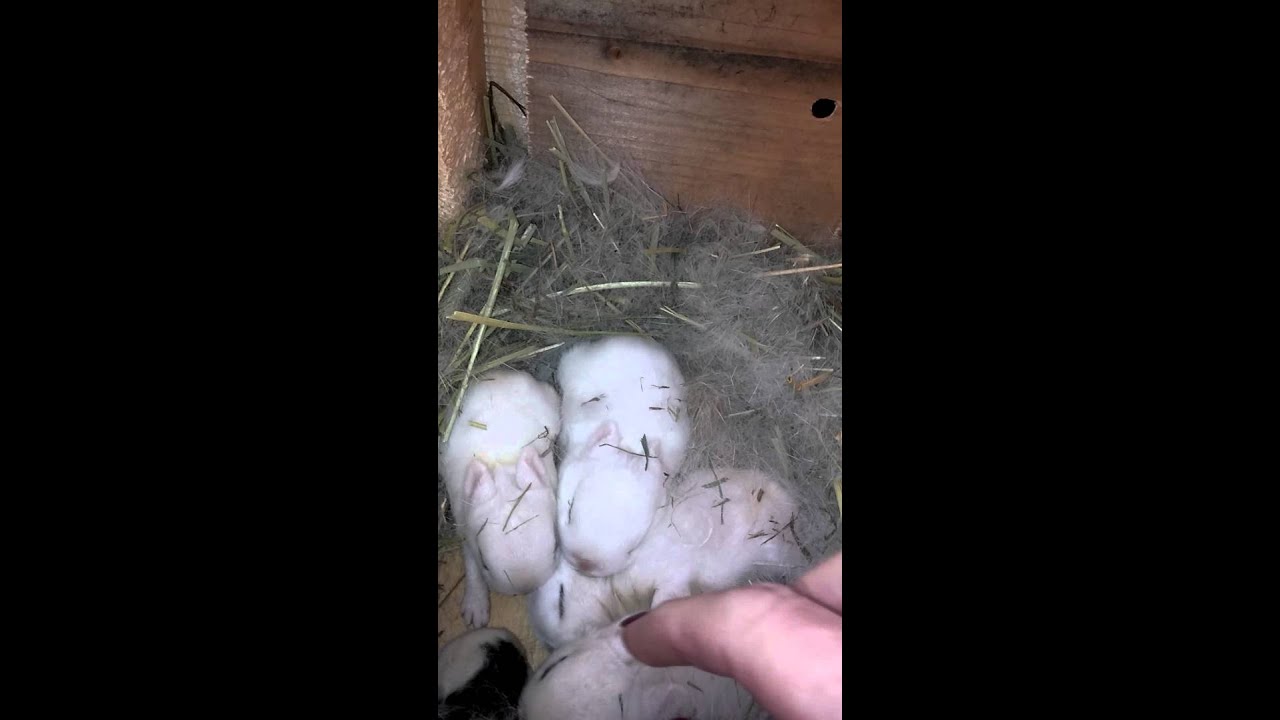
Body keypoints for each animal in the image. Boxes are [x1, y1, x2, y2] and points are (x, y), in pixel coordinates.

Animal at [439, 369, 562, 628]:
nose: (525, 589)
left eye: (557, 545)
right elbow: (471, 568)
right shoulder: (466, 535)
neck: (501, 463)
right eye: (485, 563)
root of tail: (500, 373)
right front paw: (475, 615)